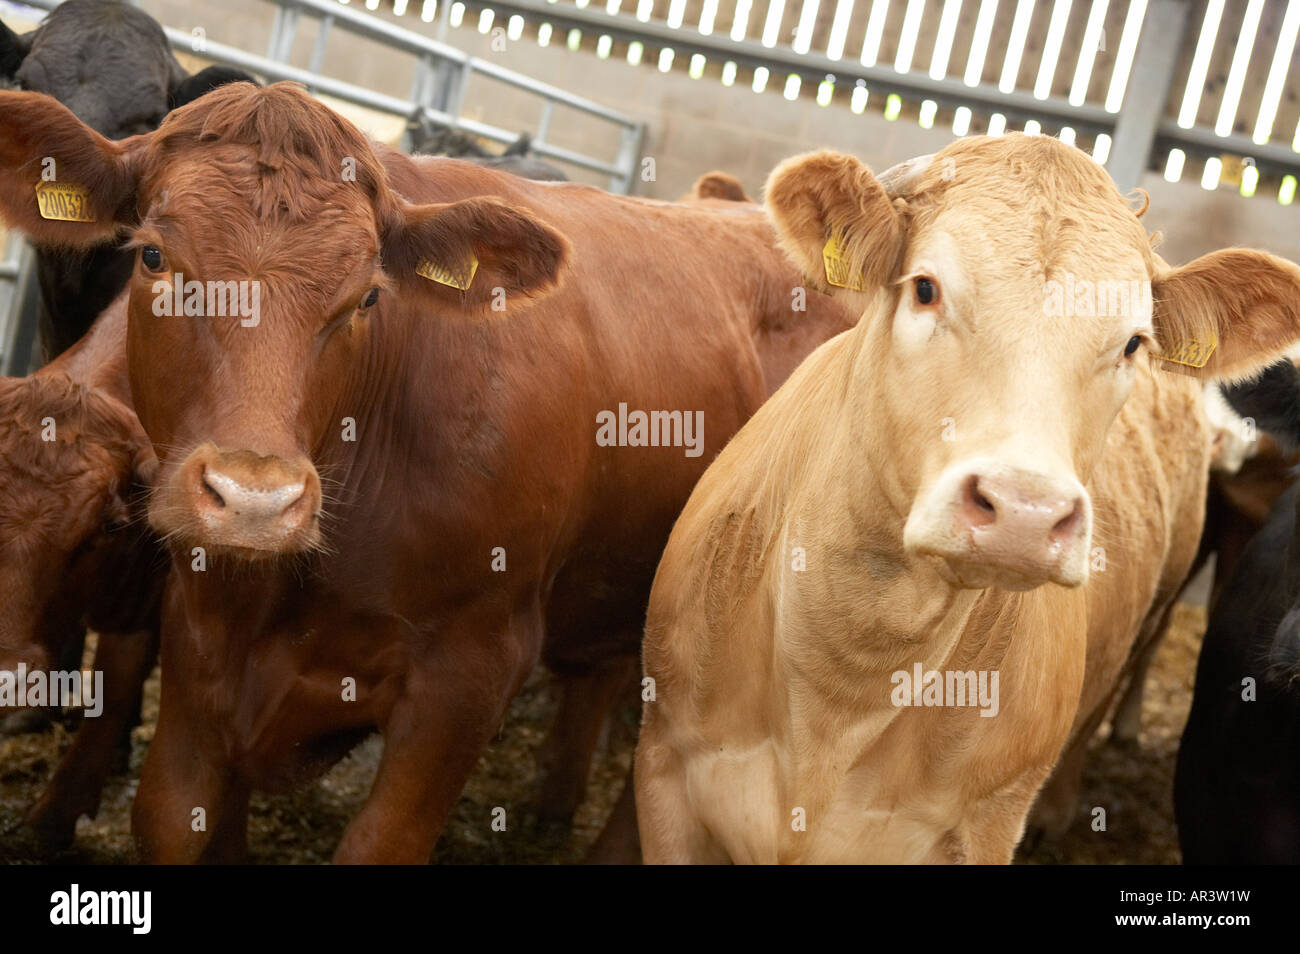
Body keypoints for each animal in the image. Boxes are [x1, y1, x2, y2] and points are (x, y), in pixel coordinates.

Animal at [633, 138, 1300, 863]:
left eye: (1132, 343)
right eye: (926, 288)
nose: (1025, 512)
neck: (842, 679)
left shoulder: (986, 822)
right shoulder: (665, 767)